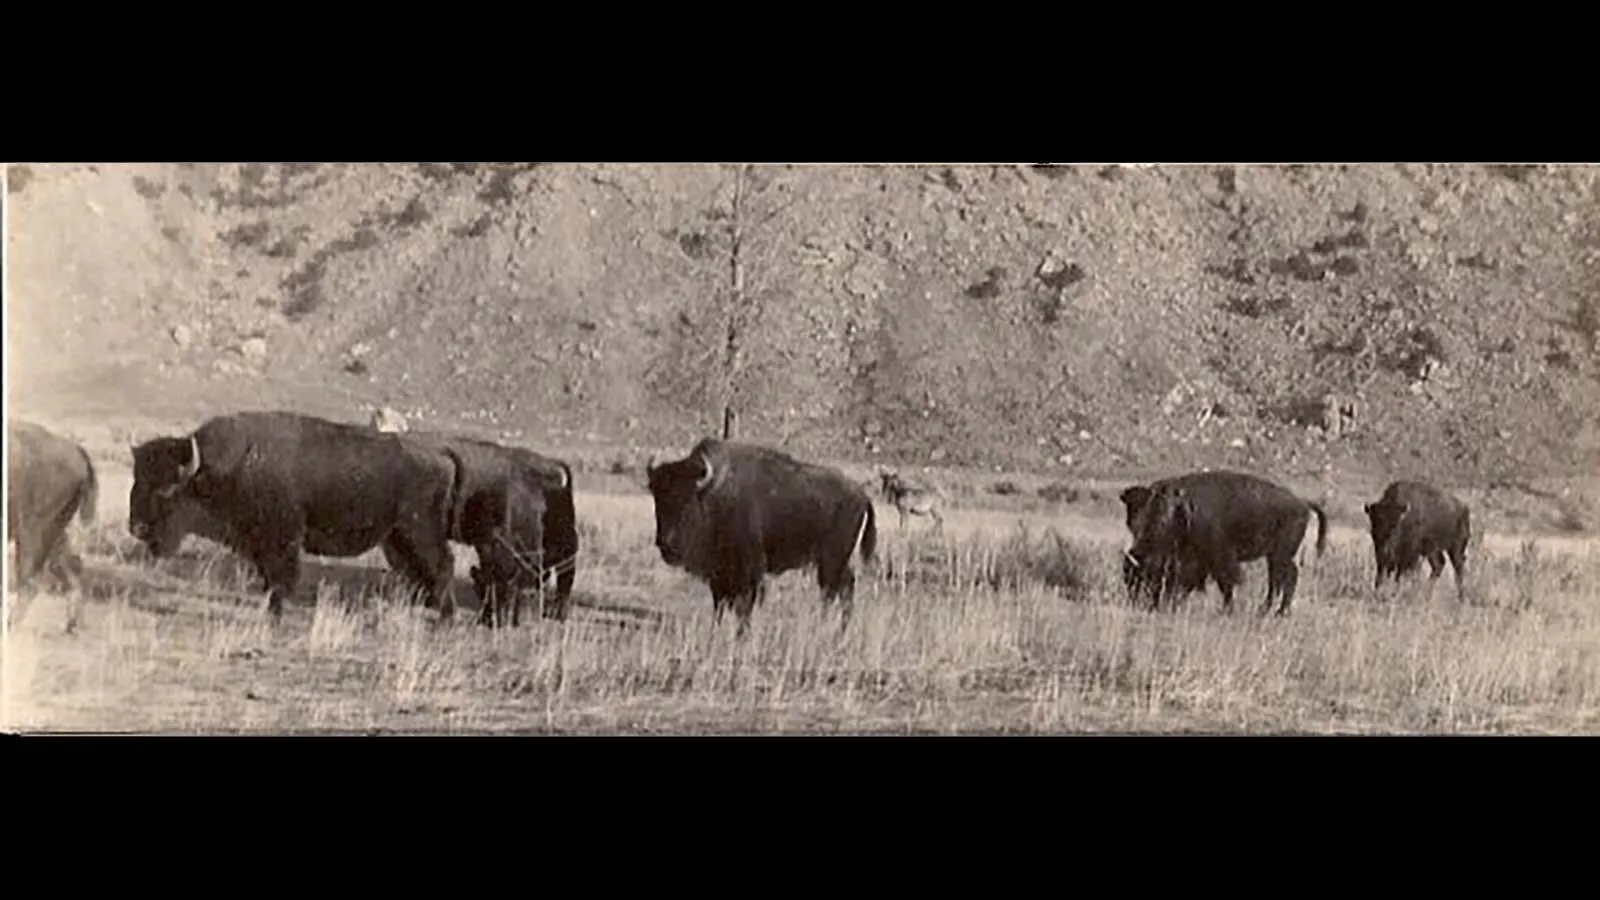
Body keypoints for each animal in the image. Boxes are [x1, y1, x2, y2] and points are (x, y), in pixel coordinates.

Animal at [7, 420, 99, 632]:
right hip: (55, 529)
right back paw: (71, 624)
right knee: (71, 566)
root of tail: (76, 450)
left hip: (32, 530)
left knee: (29, 580)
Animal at [128, 411, 462, 624]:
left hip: (418, 529)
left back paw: (445, 618)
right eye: (137, 479)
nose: (136, 527)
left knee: (442, 565)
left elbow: (281, 579)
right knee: (417, 571)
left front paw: (275, 615)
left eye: (166, 489)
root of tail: (441, 455)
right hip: (395, 538)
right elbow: (267, 579)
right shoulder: (258, 545)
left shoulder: (282, 540)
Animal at [646, 438, 877, 637]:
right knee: (846, 588)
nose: (666, 543)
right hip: (836, 562)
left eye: (686, 501)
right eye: (657, 499)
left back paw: (823, 626)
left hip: (831, 562)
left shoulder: (750, 571)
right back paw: (840, 629)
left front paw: (742, 635)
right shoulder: (719, 574)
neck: (711, 494)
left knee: (831, 592)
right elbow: (720, 605)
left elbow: (744, 607)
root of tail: (862, 495)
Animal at [1120, 469, 1329, 616]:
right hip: (1274, 556)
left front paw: (1227, 610)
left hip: (1281, 554)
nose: (1137, 603)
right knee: (1278, 579)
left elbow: (1226, 584)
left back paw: (1278, 612)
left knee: (1287, 578)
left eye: (1145, 574)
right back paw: (1267, 611)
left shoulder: (1220, 559)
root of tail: (1302, 503)